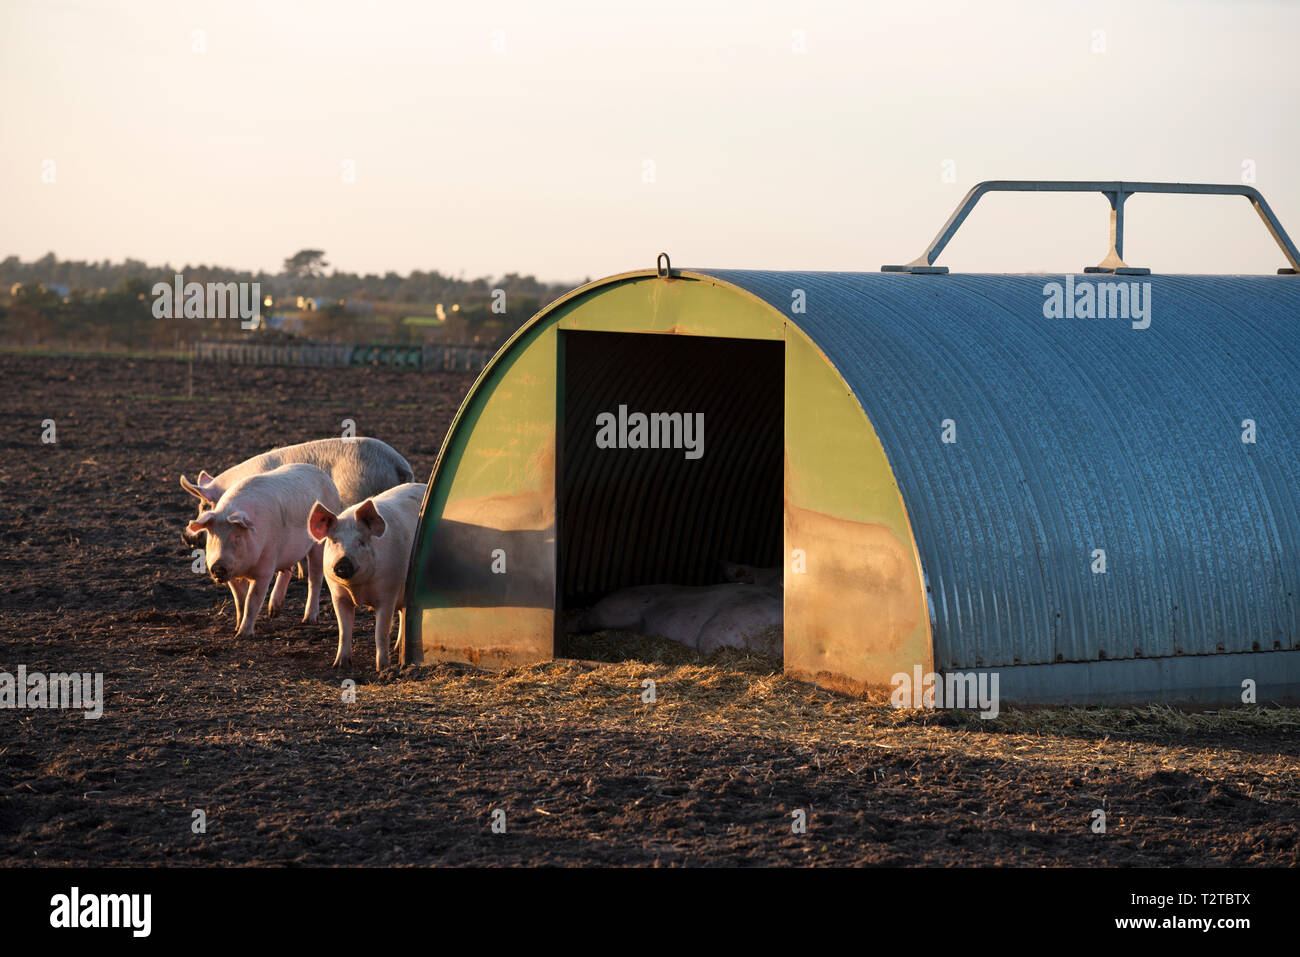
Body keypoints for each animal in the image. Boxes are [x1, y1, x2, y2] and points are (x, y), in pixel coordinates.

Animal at [186, 463, 342, 639]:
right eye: (213, 535)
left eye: (237, 536)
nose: (218, 567)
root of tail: (324, 476)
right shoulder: (233, 575)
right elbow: (240, 601)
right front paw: (236, 628)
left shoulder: (265, 566)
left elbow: (252, 601)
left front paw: (242, 635)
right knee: (287, 571)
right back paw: (273, 613)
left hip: (318, 544)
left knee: (315, 579)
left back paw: (308, 619)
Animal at [308, 483, 425, 671]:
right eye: (334, 541)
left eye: (361, 542)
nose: (343, 562)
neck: (357, 589)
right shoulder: (338, 595)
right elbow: (344, 630)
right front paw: (339, 665)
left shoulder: (388, 592)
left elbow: (381, 632)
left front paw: (382, 668)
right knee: (403, 614)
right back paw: (397, 648)